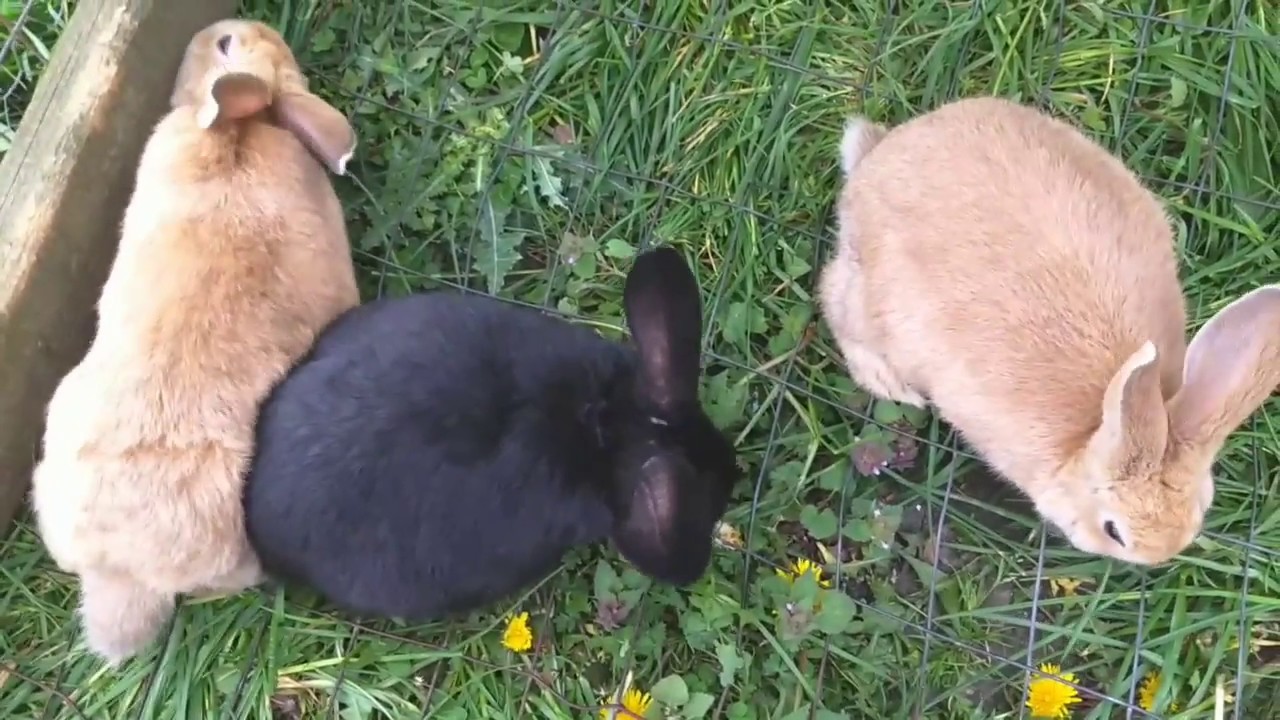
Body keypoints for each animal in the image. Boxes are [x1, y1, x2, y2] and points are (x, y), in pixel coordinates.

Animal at [817, 95, 1280, 567]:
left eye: (1202, 509)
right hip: (874, 301)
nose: (1157, 558)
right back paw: (892, 384)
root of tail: (874, 157)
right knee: (835, 299)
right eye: (1114, 531)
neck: (1093, 432)